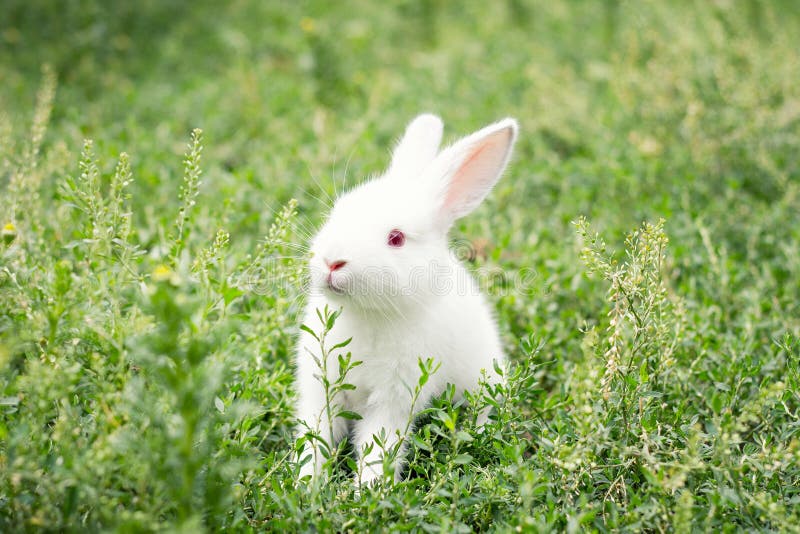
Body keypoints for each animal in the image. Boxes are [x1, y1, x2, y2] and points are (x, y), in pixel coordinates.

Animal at [294, 114, 519, 486]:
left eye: (396, 238)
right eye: (338, 212)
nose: (332, 261)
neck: (366, 315)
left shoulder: (393, 402)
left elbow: (377, 450)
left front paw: (366, 493)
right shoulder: (321, 391)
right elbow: (314, 441)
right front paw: (303, 485)